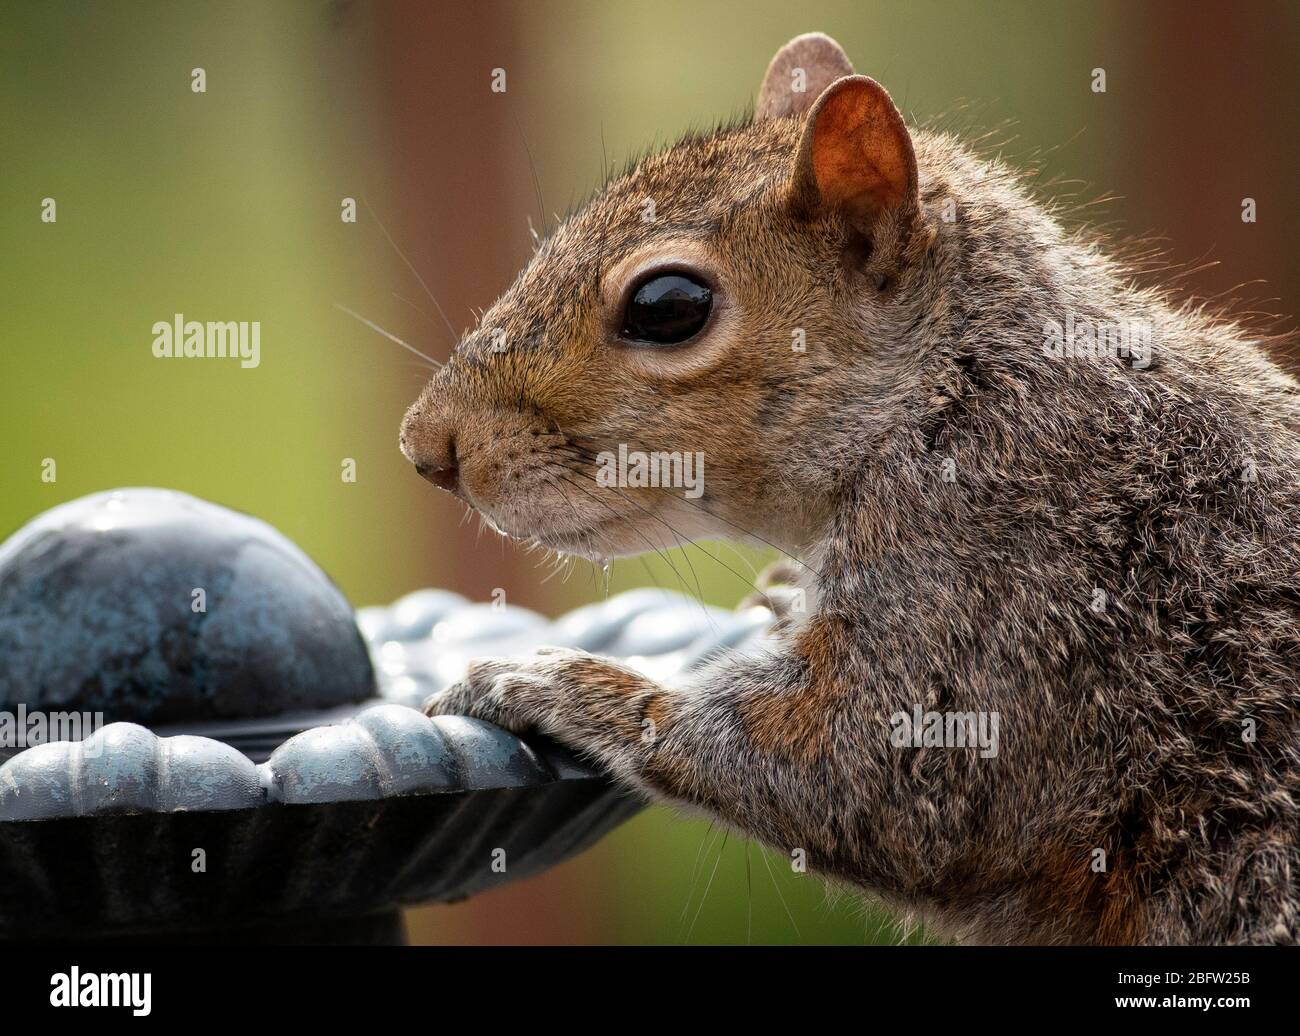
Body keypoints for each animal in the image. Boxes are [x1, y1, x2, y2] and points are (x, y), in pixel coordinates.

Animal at [399, 33, 1300, 945]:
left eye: (668, 306)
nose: (427, 446)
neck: (955, 388)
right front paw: (783, 599)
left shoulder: (998, 574)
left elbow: (857, 769)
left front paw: (546, 681)